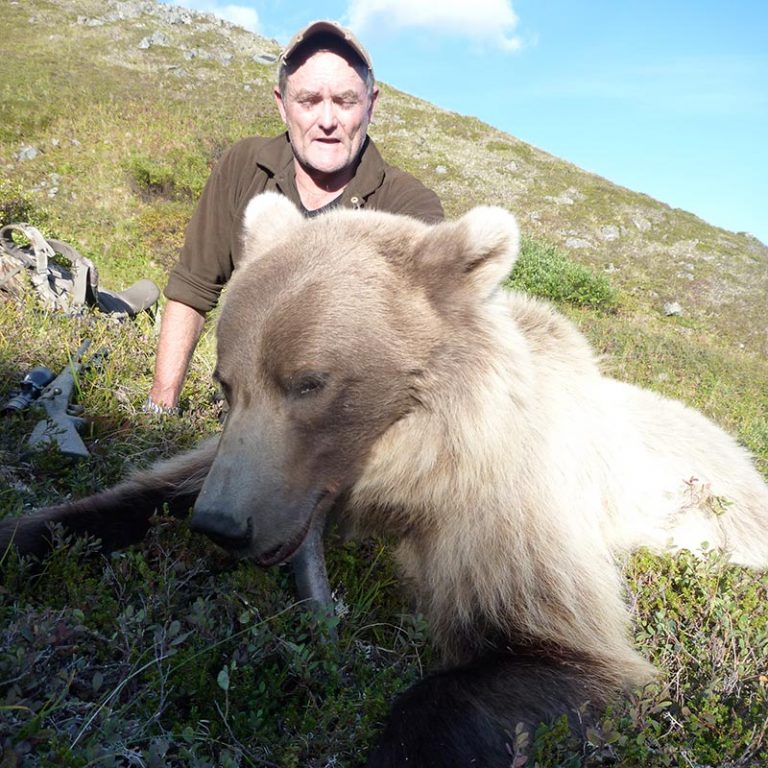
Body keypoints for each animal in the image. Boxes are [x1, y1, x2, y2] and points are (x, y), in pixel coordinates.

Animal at [2, 192, 767, 767]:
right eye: (225, 382)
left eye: (309, 382)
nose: (220, 525)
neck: (399, 462)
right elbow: (154, 485)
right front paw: (31, 531)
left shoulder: (500, 506)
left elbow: (557, 651)